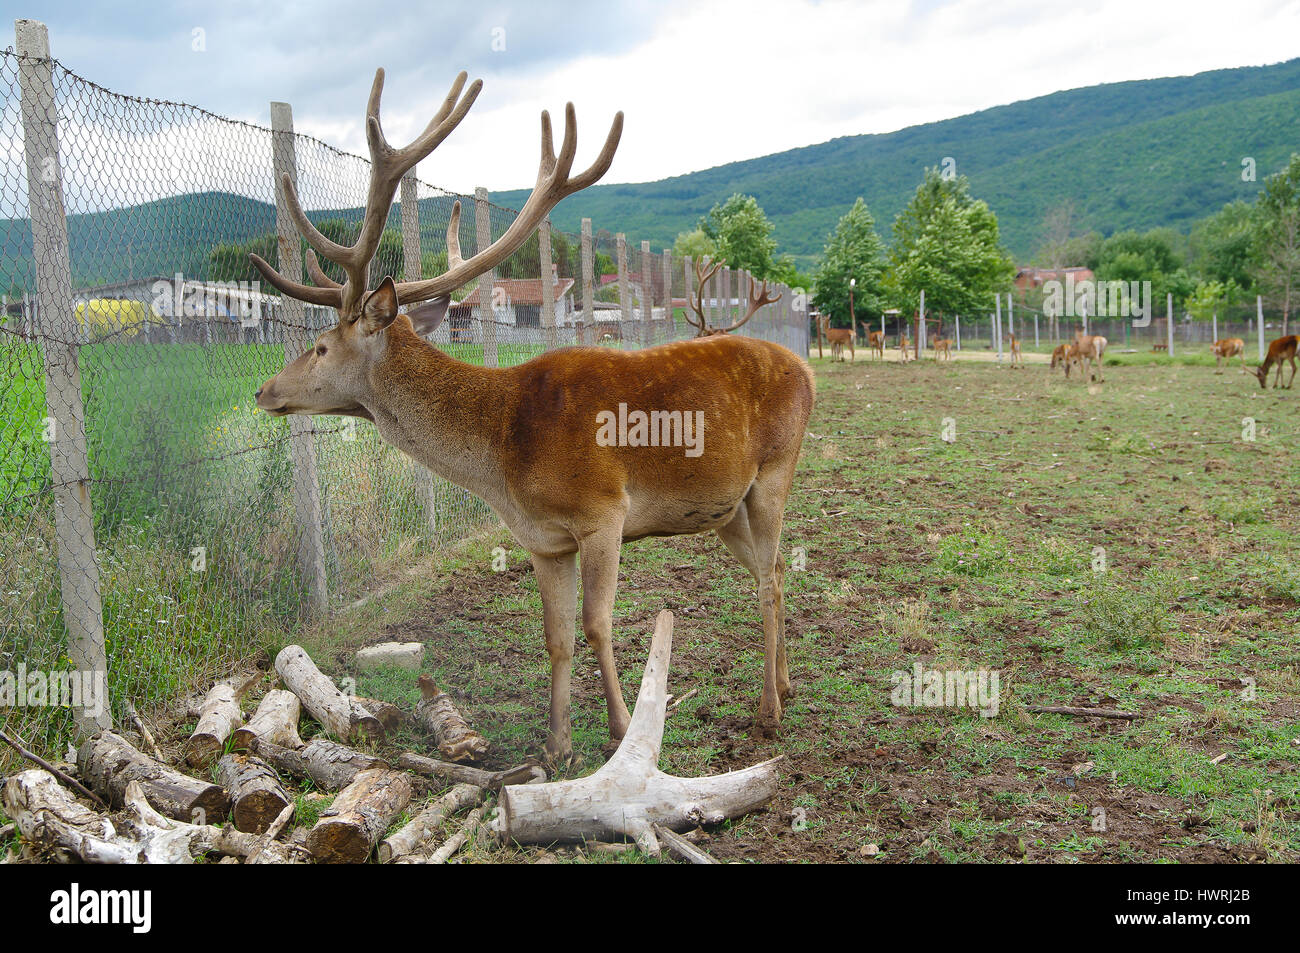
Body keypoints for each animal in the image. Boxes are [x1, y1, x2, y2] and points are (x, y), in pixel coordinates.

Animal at [250, 70, 815, 765]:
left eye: (323, 346)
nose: (265, 391)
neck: (504, 456)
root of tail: (806, 369)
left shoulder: (604, 512)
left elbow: (598, 625)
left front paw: (621, 733)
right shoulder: (544, 541)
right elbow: (557, 636)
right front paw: (556, 745)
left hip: (776, 470)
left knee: (769, 577)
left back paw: (768, 712)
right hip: (723, 507)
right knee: (777, 567)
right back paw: (785, 686)